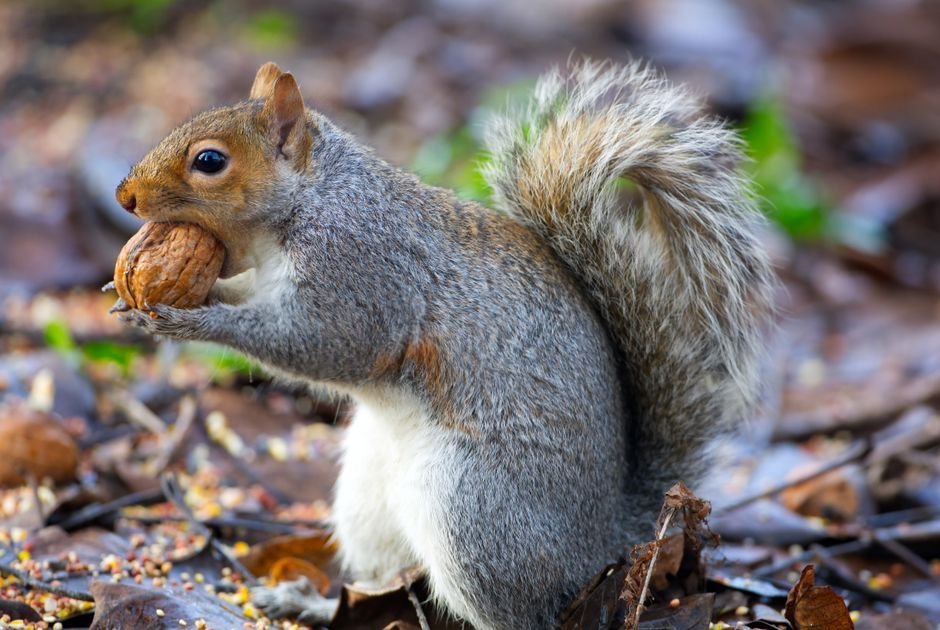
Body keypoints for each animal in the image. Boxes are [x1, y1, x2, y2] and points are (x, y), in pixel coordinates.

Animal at [113, 60, 775, 629]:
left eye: (209, 160)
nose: (125, 196)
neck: (313, 198)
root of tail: (605, 539)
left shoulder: (361, 270)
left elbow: (325, 343)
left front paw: (194, 319)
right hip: (369, 503)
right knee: (382, 579)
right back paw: (311, 603)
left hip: (475, 514)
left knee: (522, 614)